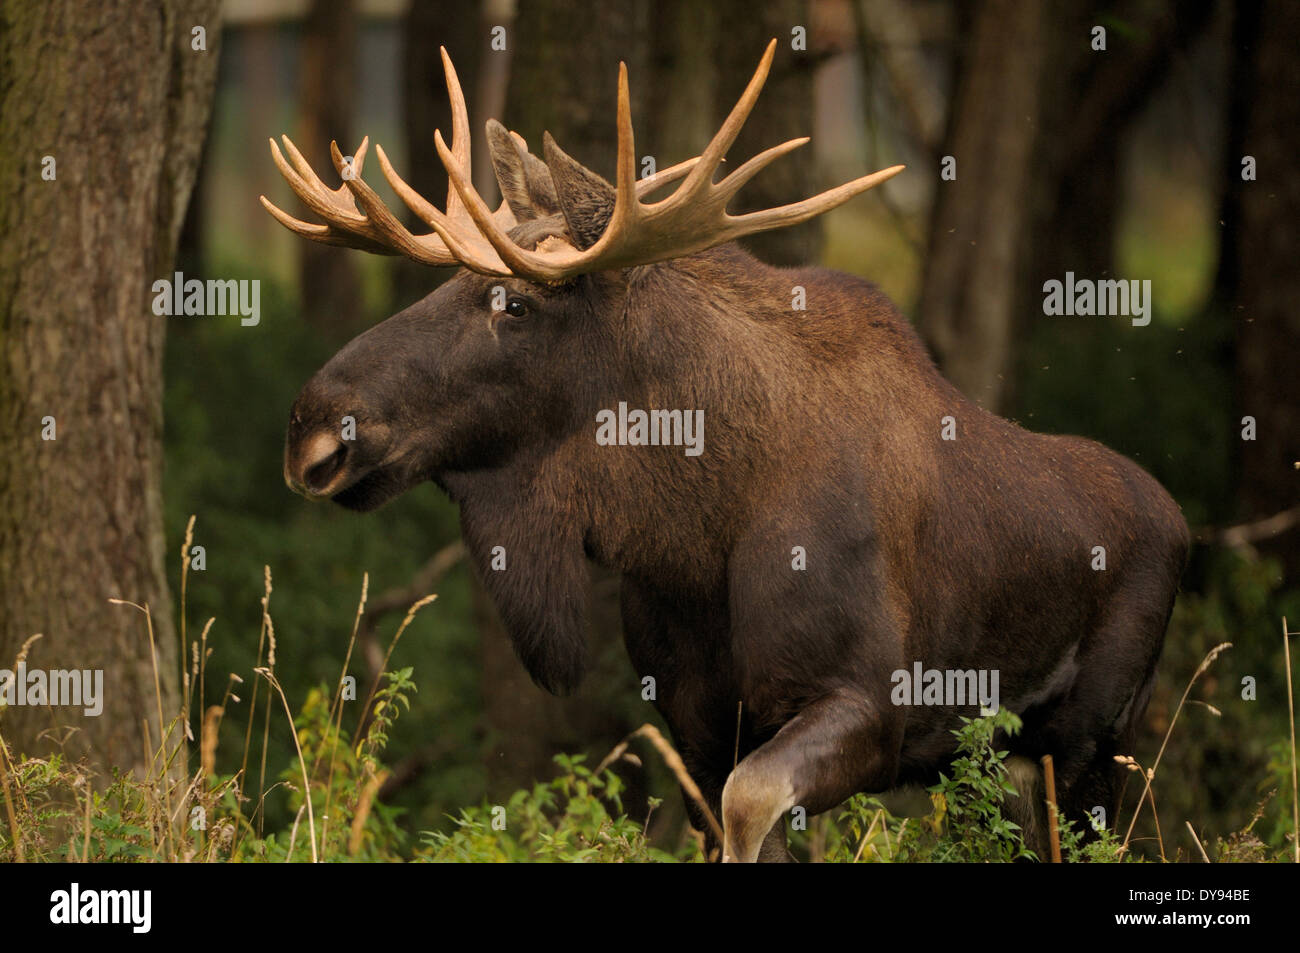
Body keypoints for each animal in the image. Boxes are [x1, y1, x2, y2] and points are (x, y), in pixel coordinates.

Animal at [264, 40, 1189, 862]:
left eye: (516, 302)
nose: (314, 425)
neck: (695, 538)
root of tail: (1181, 522)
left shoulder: (869, 705)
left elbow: (753, 802)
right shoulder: (696, 724)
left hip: (1091, 739)